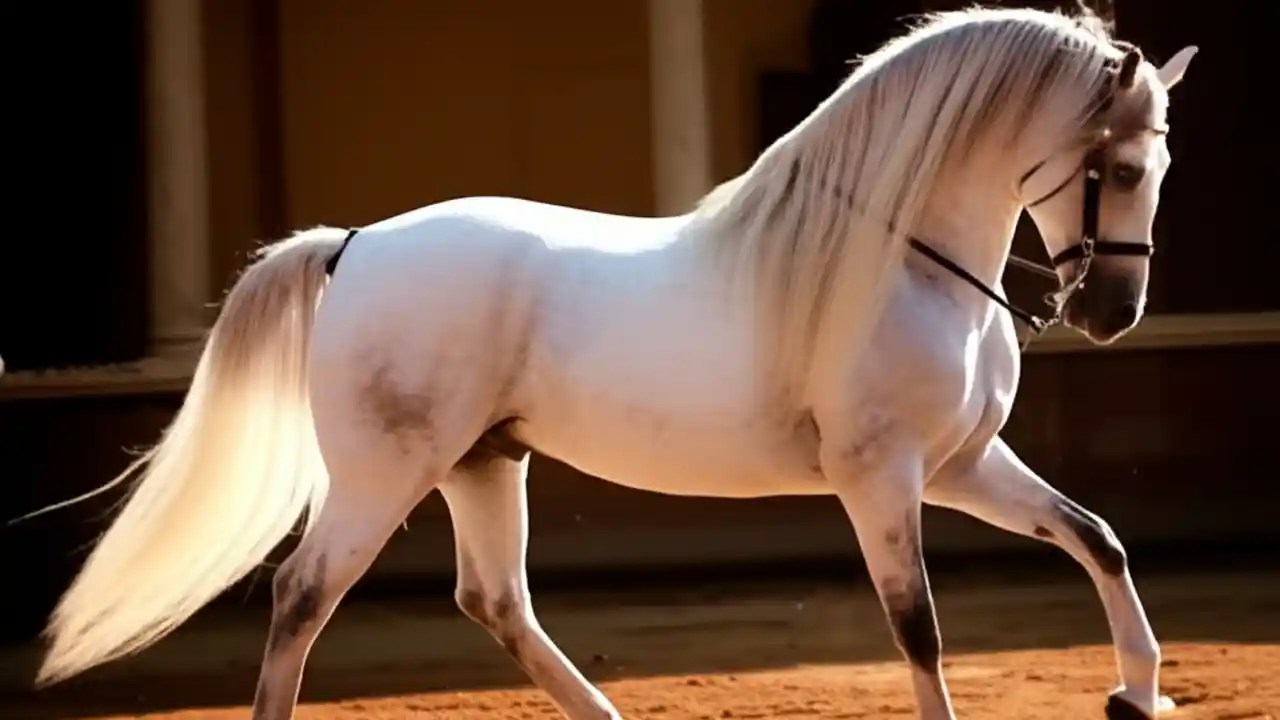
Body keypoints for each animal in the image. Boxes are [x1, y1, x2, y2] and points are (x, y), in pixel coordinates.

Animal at [29, 6, 1197, 720]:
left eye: (1159, 165)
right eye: (1119, 167)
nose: (1113, 313)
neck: (899, 259)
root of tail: (354, 244)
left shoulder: (960, 466)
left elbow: (1096, 540)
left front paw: (1138, 693)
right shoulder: (883, 479)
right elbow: (917, 628)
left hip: (482, 464)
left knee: (494, 601)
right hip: (383, 474)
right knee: (304, 596)